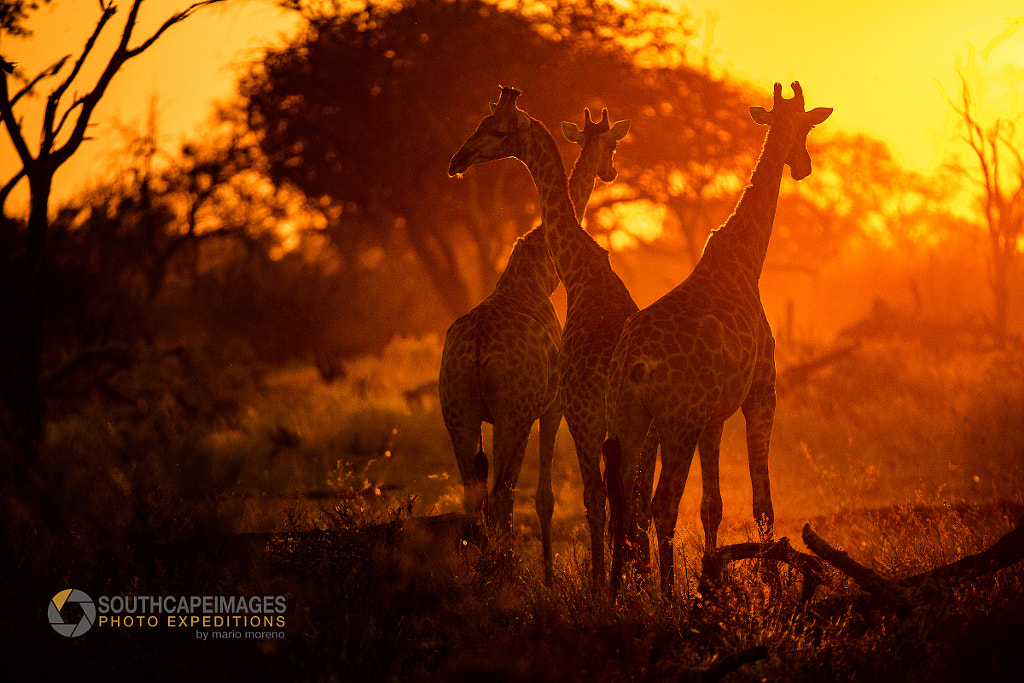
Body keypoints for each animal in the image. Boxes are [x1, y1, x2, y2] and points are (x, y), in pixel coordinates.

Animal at [449, 87, 638, 584]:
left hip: (459, 413)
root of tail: (475, 352)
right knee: (505, 496)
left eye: (495, 128)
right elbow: (552, 497)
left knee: (478, 499)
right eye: (613, 147)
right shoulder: (555, 408)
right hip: (516, 417)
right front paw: (558, 578)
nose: (457, 160)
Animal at [604, 82, 832, 597]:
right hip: (676, 423)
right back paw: (667, 596)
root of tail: (635, 365)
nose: (804, 166)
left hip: (632, 420)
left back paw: (621, 595)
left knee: (627, 505)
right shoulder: (760, 393)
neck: (748, 260)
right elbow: (762, 504)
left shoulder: (713, 418)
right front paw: (771, 584)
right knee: (662, 503)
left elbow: (713, 506)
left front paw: (714, 577)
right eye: (806, 126)